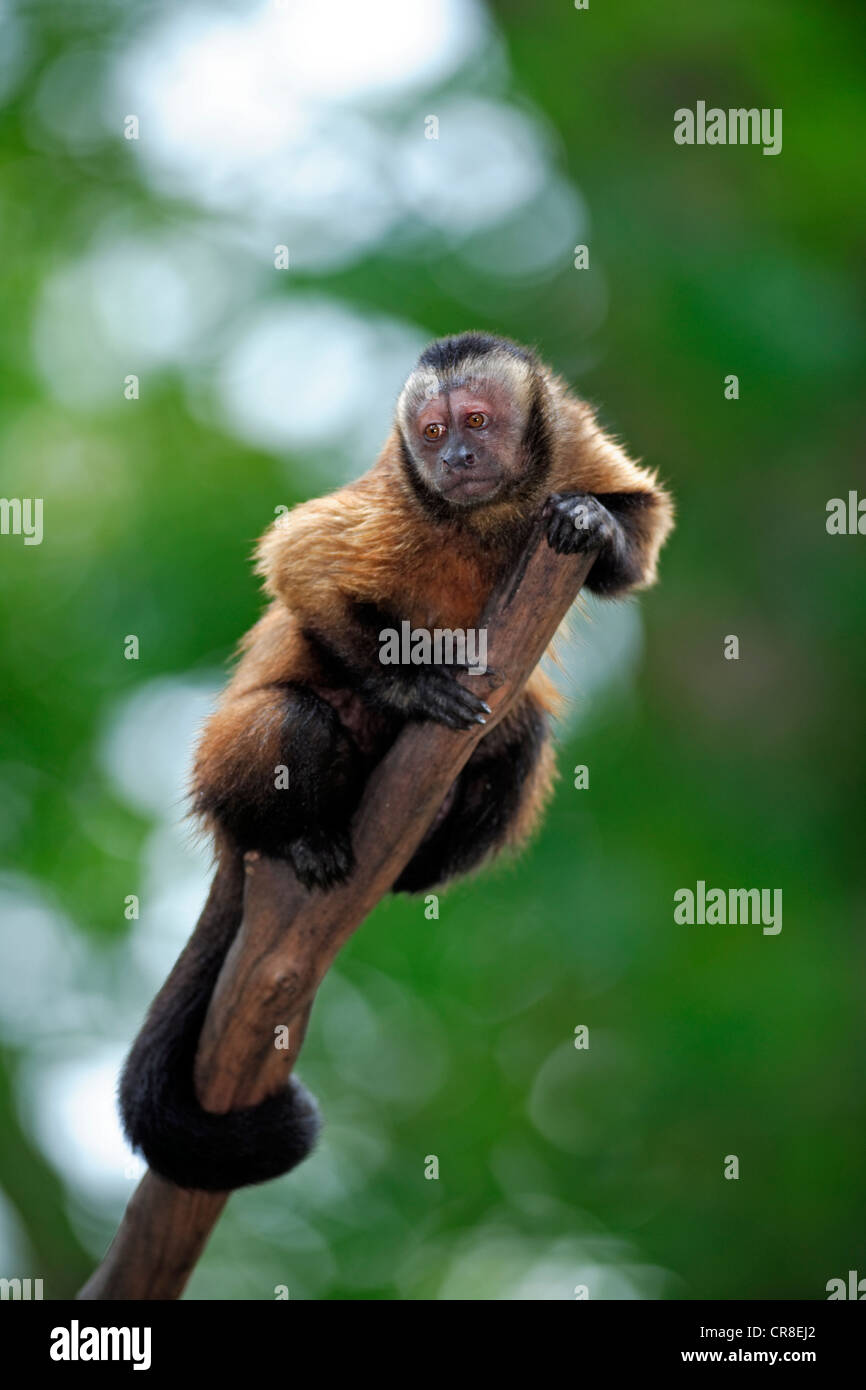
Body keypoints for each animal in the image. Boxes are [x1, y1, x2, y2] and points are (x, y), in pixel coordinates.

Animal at [119, 331, 674, 1192]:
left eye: (476, 421)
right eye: (434, 433)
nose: (458, 458)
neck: (490, 515)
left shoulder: (572, 447)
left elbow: (635, 532)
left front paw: (597, 524)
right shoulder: (396, 503)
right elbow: (298, 561)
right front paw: (407, 688)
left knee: (520, 737)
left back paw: (415, 867)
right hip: (225, 775)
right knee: (296, 716)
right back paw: (296, 838)